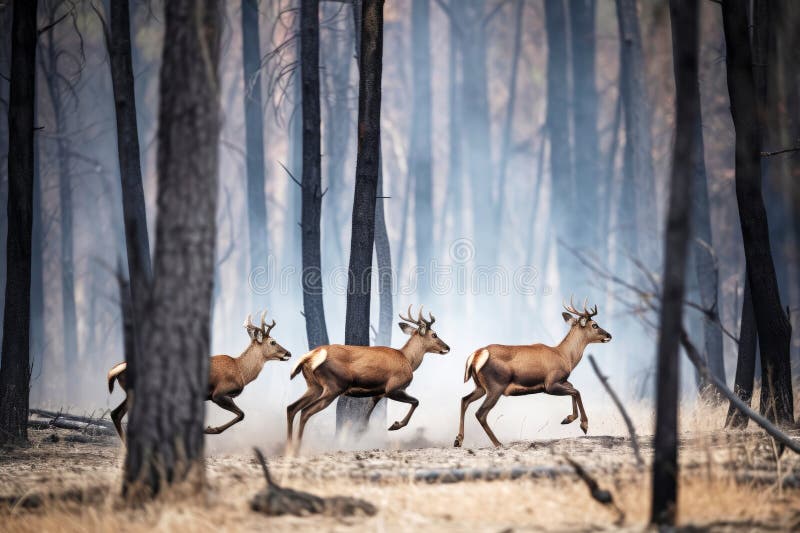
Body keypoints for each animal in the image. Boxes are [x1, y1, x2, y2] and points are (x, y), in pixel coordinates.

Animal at [106, 311, 291, 443]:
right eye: (273, 342)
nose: (288, 353)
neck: (241, 371)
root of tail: (119, 367)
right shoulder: (218, 393)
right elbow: (242, 415)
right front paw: (209, 429)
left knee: (115, 413)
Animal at [286, 305, 450, 448]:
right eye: (434, 334)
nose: (447, 347)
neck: (407, 359)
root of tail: (308, 357)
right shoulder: (393, 388)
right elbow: (416, 401)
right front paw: (395, 425)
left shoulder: (378, 393)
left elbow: (366, 418)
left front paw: (359, 433)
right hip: (334, 385)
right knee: (305, 411)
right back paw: (298, 446)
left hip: (314, 386)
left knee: (291, 408)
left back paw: (290, 444)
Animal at [453, 298, 612, 448]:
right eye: (595, 325)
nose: (609, 335)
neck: (566, 357)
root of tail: (476, 355)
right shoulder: (549, 384)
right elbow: (576, 391)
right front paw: (583, 424)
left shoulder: (561, 380)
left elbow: (573, 388)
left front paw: (567, 419)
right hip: (496, 386)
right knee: (480, 413)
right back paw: (498, 443)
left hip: (481, 386)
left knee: (464, 400)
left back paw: (458, 440)